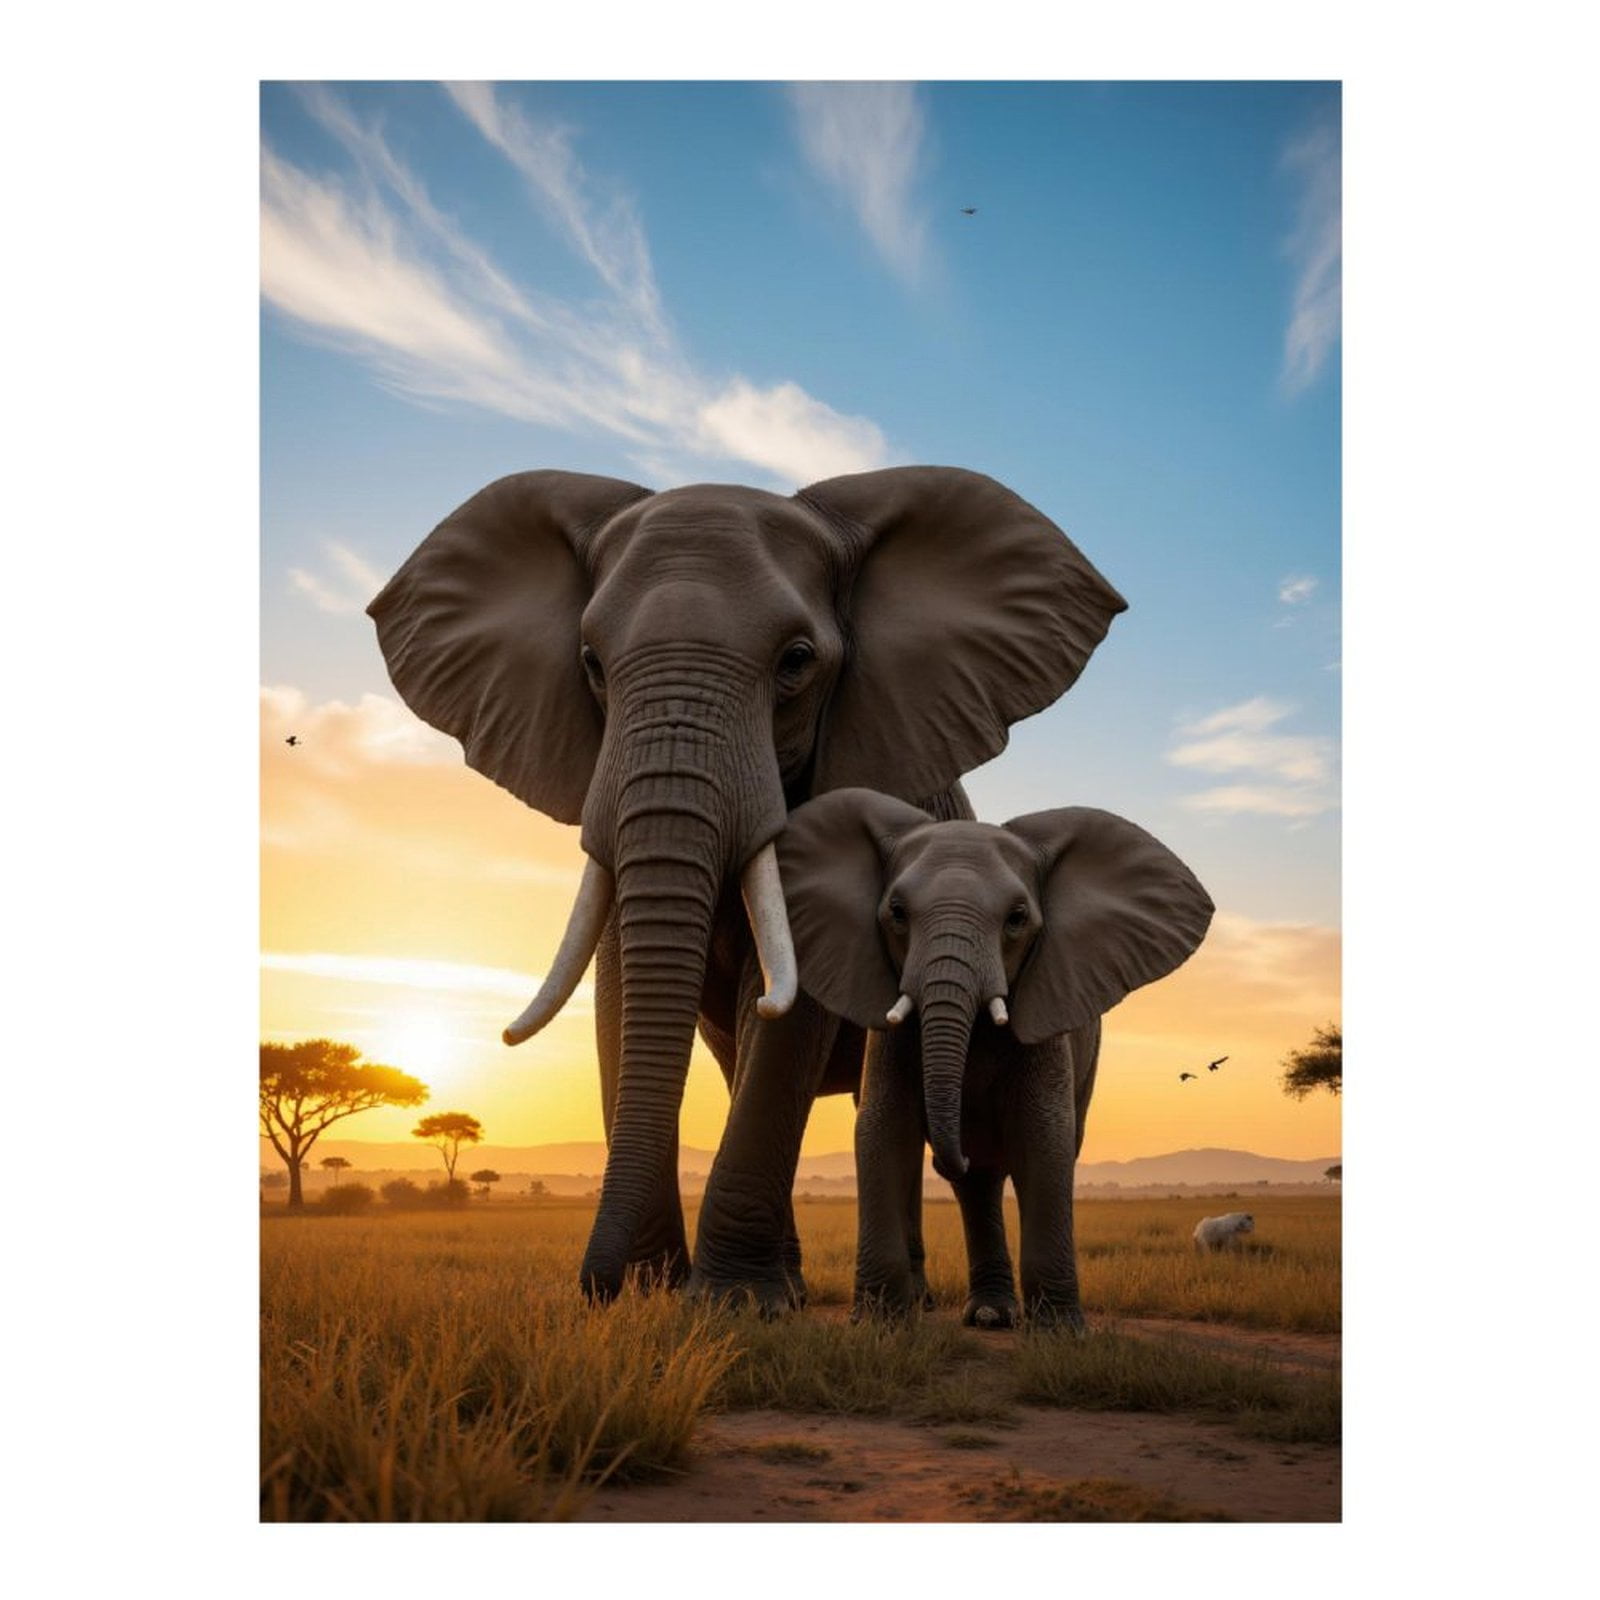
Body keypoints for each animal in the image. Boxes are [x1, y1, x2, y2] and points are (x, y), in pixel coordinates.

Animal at [367, 466, 1127, 1306]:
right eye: (592, 663)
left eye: (796, 661)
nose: (596, 1289)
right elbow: (621, 991)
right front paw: (667, 1296)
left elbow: (787, 1012)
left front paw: (729, 1304)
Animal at [775, 788, 1214, 1327]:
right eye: (897, 913)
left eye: (1017, 919)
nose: (951, 1146)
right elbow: (882, 1128)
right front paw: (878, 1326)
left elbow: (1043, 1137)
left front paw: (1062, 1333)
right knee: (978, 1180)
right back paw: (989, 1315)